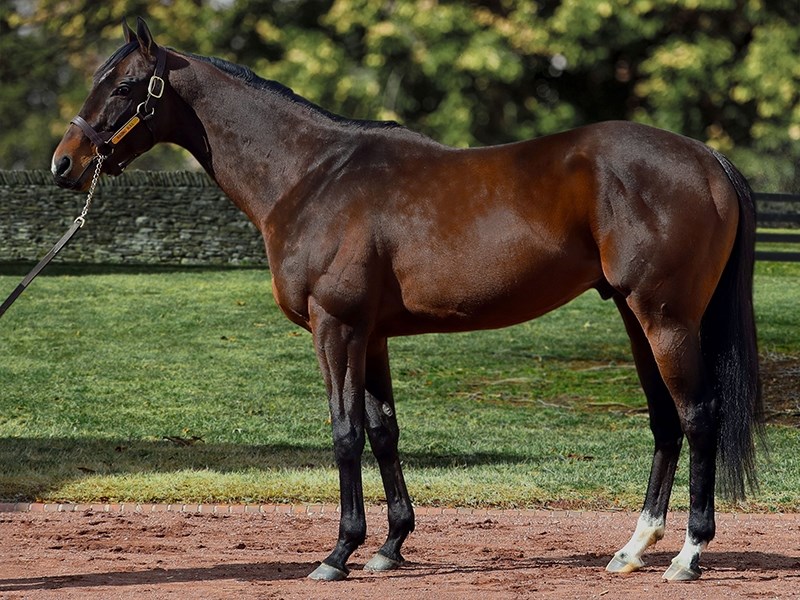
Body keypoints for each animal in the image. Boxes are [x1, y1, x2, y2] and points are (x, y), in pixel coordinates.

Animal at [52, 18, 762, 582]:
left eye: (123, 86)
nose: (64, 163)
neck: (311, 176)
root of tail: (707, 159)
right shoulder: (372, 335)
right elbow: (384, 430)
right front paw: (389, 547)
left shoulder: (334, 327)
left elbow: (344, 432)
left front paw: (338, 553)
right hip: (635, 317)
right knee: (665, 422)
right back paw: (633, 548)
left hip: (666, 318)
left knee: (699, 416)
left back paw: (688, 555)